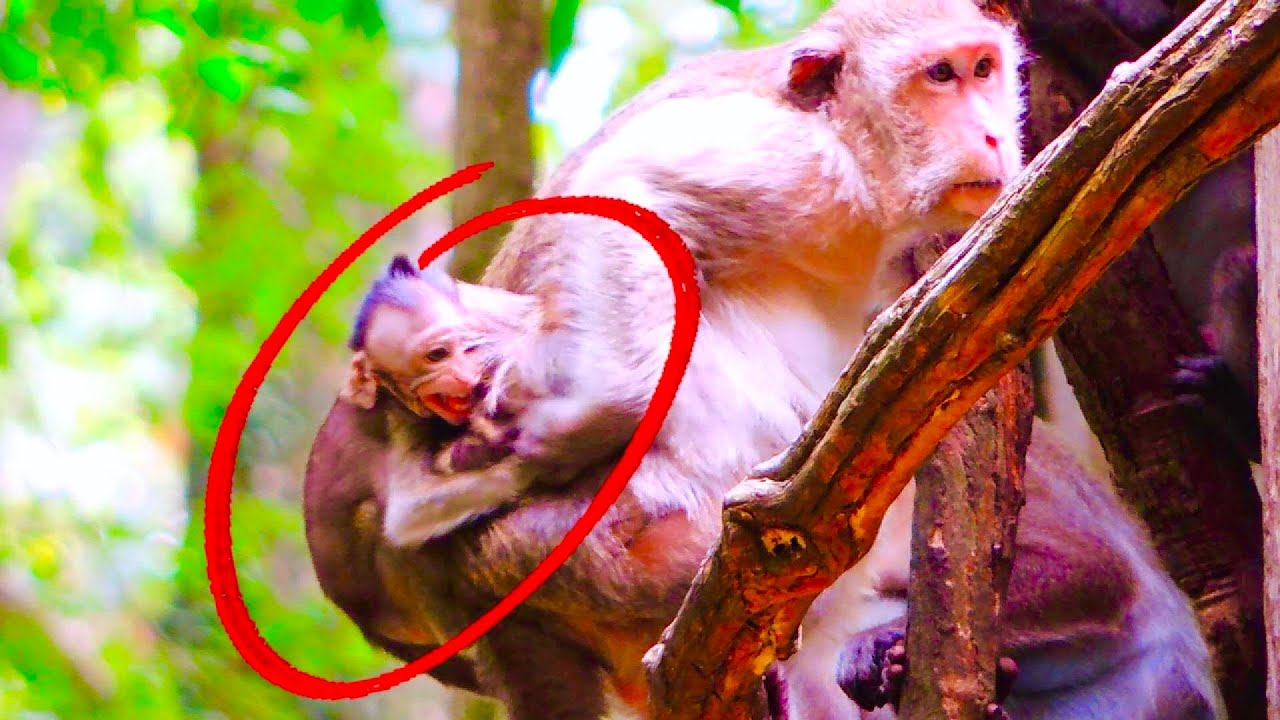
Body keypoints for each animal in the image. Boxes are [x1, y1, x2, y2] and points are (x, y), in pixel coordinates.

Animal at [304, 1, 1221, 717]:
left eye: (987, 70)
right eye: (940, 76)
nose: (997, 133)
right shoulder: (786, 163)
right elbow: (631, 198)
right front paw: (571, 424)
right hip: (613, 541)